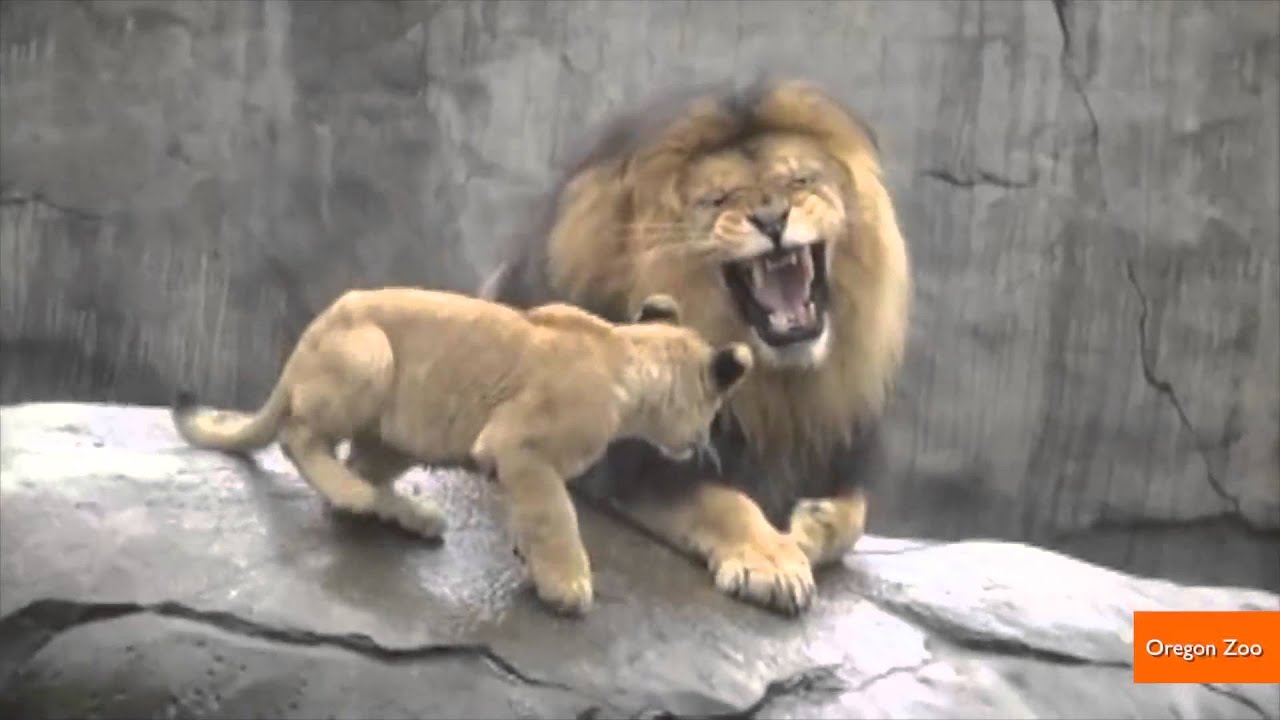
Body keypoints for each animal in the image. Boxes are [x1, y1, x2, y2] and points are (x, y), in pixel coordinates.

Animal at [170, 287, 753, 616]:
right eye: (715, 413)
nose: (704, 445)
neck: (628, 355)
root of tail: (307, 337)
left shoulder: (510, 458)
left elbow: (532, 514)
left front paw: (532, 561)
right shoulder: (519, 444)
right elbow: (555, 514)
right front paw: (567, 584)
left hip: (399, 431)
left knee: (360, 466)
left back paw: (410, 513)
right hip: (370, 355)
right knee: (299, 437)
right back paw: (357, 496)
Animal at [479, 76, 911, 616]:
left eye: (800, 182)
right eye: (719, 199)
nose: (772, 219)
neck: (777, 389)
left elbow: (857, 510)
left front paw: (814, 524)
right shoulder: (629, 467)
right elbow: (722, 501)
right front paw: (771, 560)